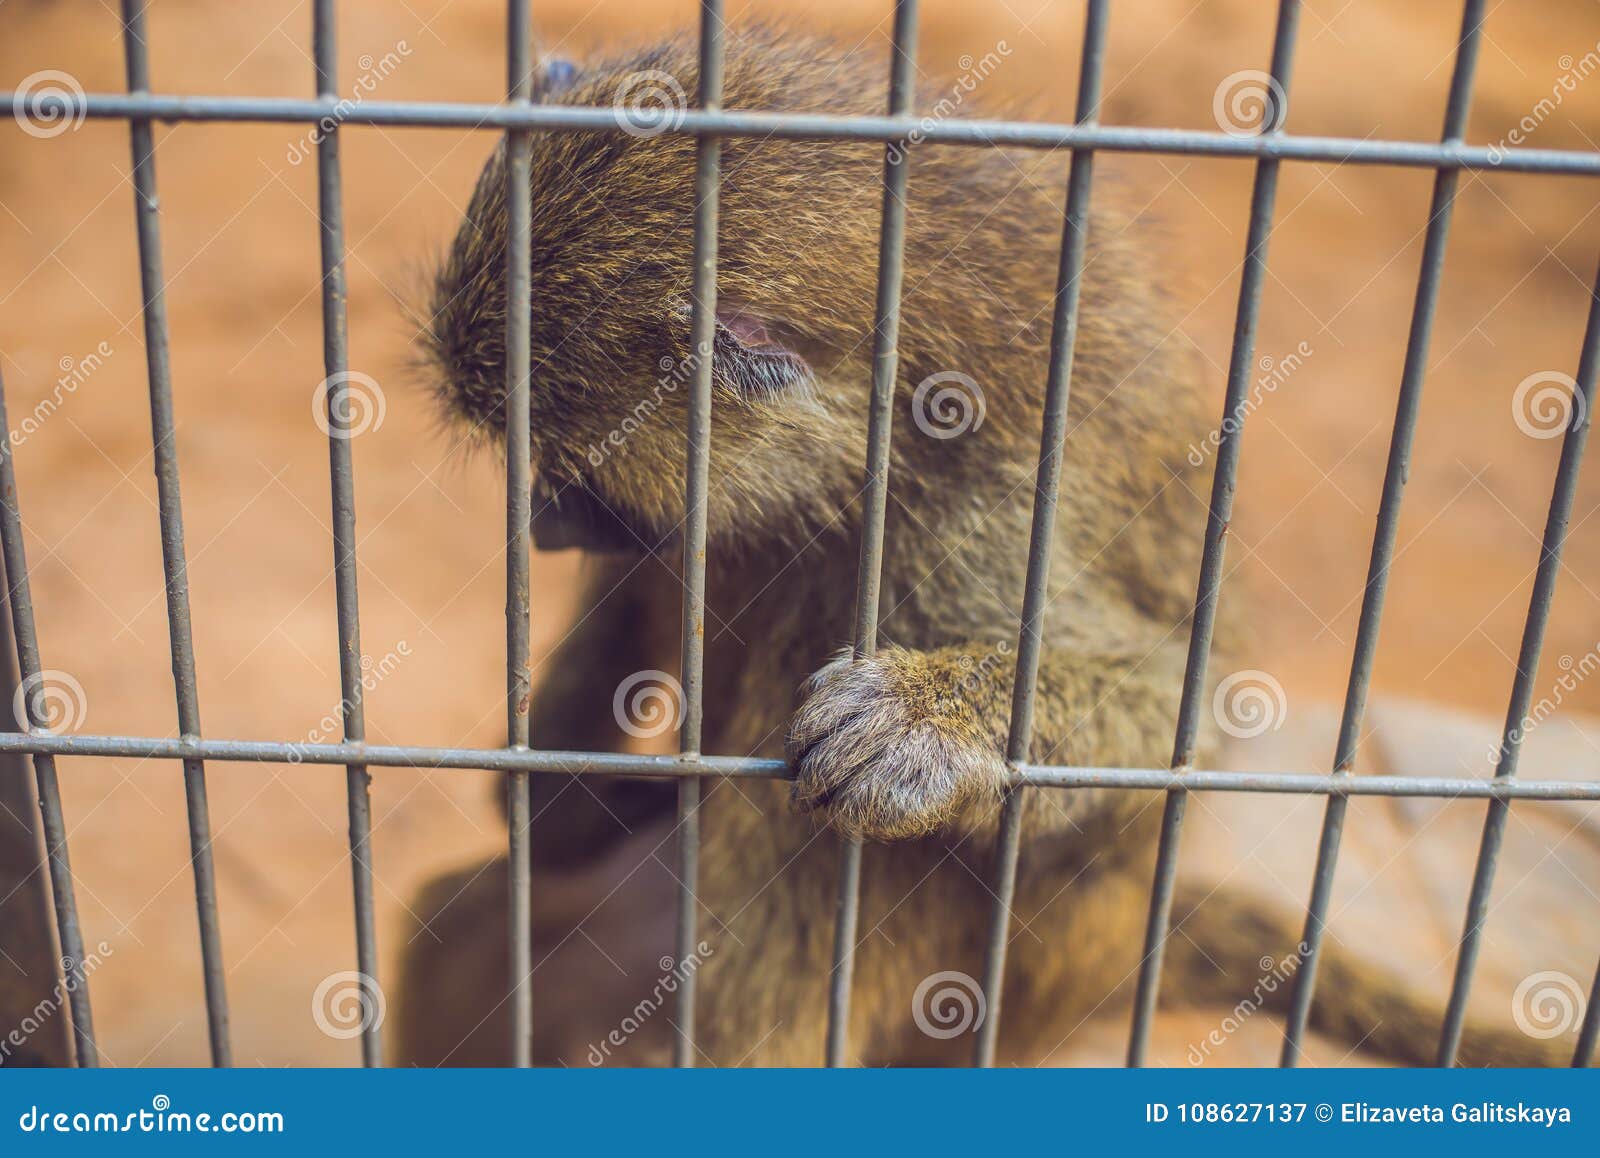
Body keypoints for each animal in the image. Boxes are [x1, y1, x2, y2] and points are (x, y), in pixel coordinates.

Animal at [395, 30, 1571, 1067]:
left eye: (567, 475)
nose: (541, 526)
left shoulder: (985, 513)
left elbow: (1176, 712)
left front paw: (928, 725)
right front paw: (558, 785)